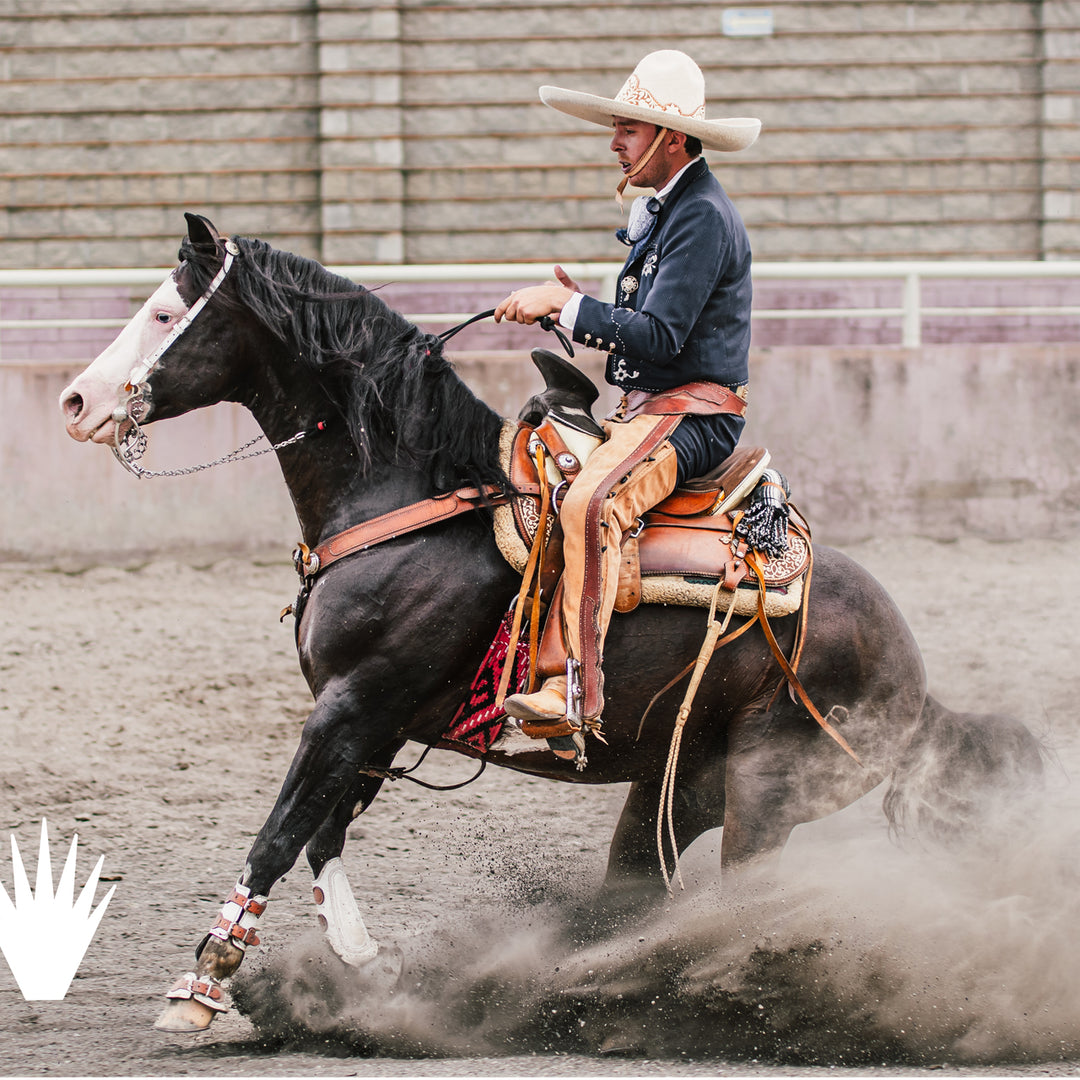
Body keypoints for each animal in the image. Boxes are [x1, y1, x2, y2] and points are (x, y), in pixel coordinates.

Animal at [59, 213, 1043, 1033]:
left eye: (163, 313)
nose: (76, 402)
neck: (409, 496)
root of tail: (917, 687)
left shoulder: (353, 704)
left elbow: (280, 832)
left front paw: (202, 985)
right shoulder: (371, 723)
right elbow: (322, 834)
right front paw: (361, 965)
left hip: (768, 787)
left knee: (743, 900)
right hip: (675, 787)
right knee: (636, 889)